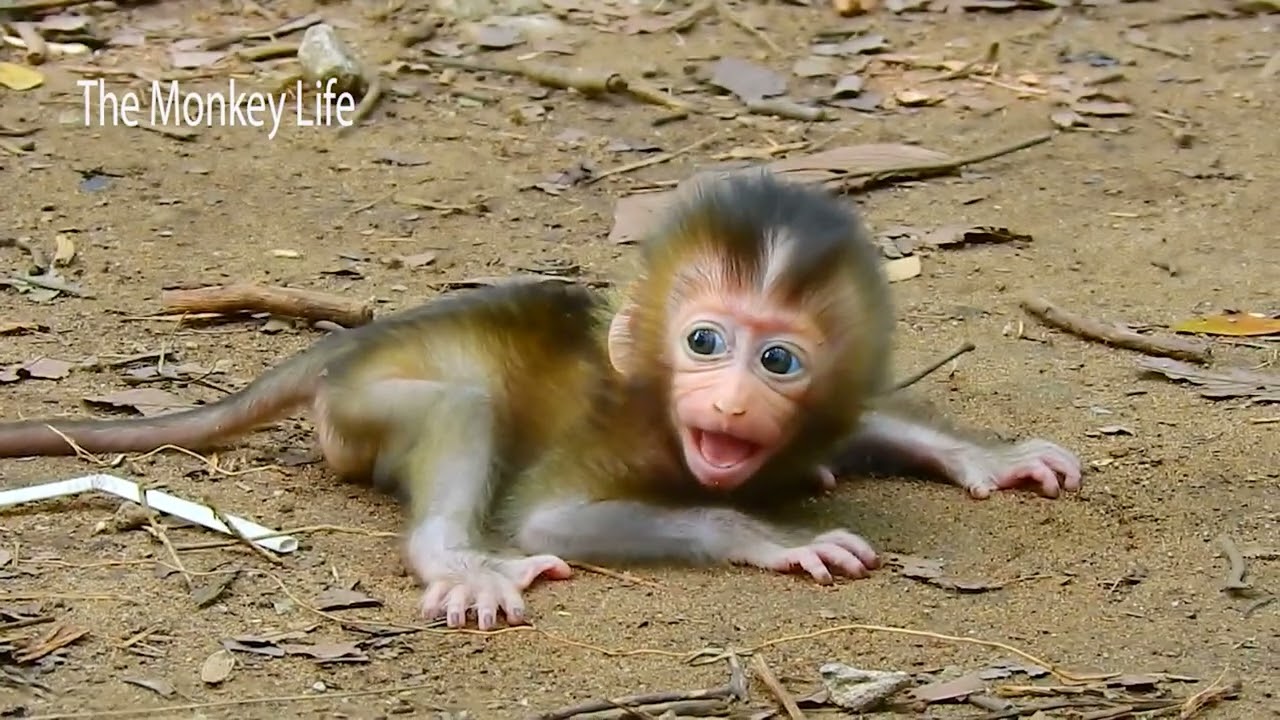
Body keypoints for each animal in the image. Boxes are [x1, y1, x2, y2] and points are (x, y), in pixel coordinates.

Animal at [0, 172, 1081, 631]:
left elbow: (865, 414)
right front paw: (775, 541)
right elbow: (554, 518)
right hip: (362, 405)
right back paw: (457, 560)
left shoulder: (826, 405)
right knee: (462, 403)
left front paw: (991, 458)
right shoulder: (622, 436)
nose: (733, 404)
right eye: (704, 343)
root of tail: (356, 336)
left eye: (777, 359)